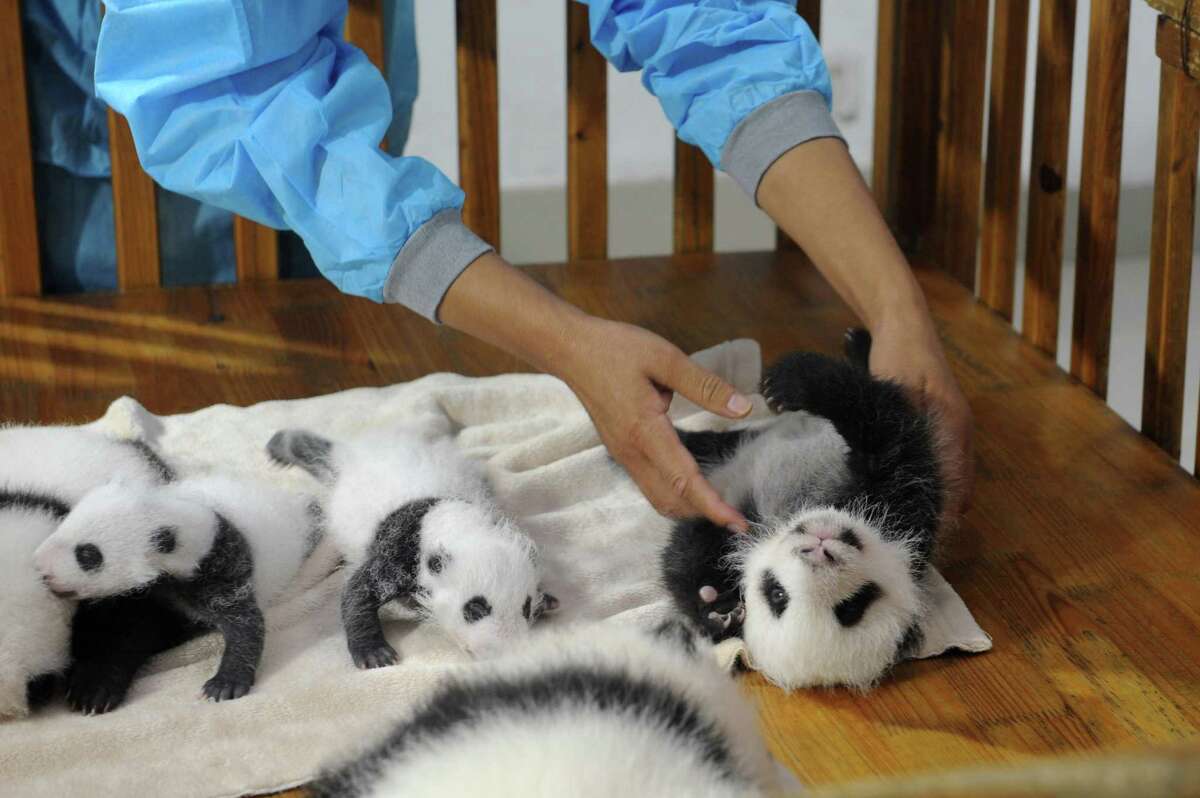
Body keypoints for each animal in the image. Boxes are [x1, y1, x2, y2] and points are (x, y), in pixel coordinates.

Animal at [34, 474, 323, 702]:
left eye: (88, 554)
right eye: (65, 522)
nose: (41, 568)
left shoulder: (221, 567)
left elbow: (245, 622)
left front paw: (224, 684)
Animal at [267, 427, 556, 668]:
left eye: (525, 608)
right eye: (475, 609)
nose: (504, 652)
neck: (453, 522)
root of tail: (355, 452)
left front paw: (548, 600)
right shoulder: (400, 550)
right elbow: (357, 590)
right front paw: (374, 654)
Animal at [661, 329, 950, 691]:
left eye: (851, 606)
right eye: (777, 594)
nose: (818, 547)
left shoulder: (906, 505)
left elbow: (884, 427)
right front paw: (716, 611)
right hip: (745, 440)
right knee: (717, 442)